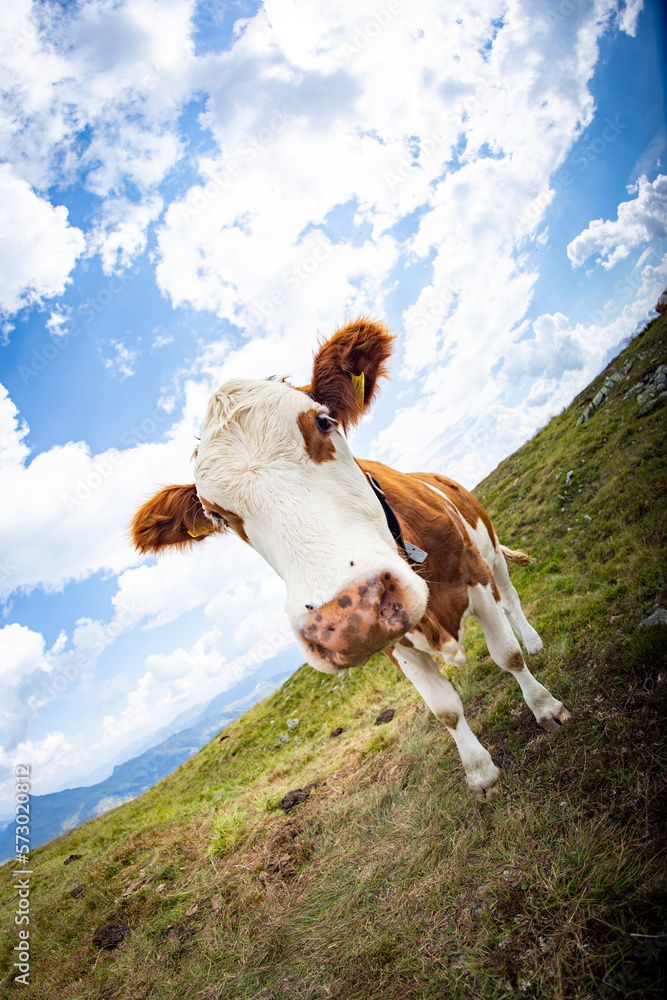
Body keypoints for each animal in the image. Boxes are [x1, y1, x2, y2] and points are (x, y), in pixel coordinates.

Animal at [132, 318, 570, 798]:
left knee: (510, 597)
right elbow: (445, 709)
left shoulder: (473, 574)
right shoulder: (395, 643)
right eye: (216, 514)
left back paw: (533, 640)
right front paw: (480, 771)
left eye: (323, 421)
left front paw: (546, 708)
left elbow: (507, 655)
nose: (348, 616)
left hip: (488, 547)